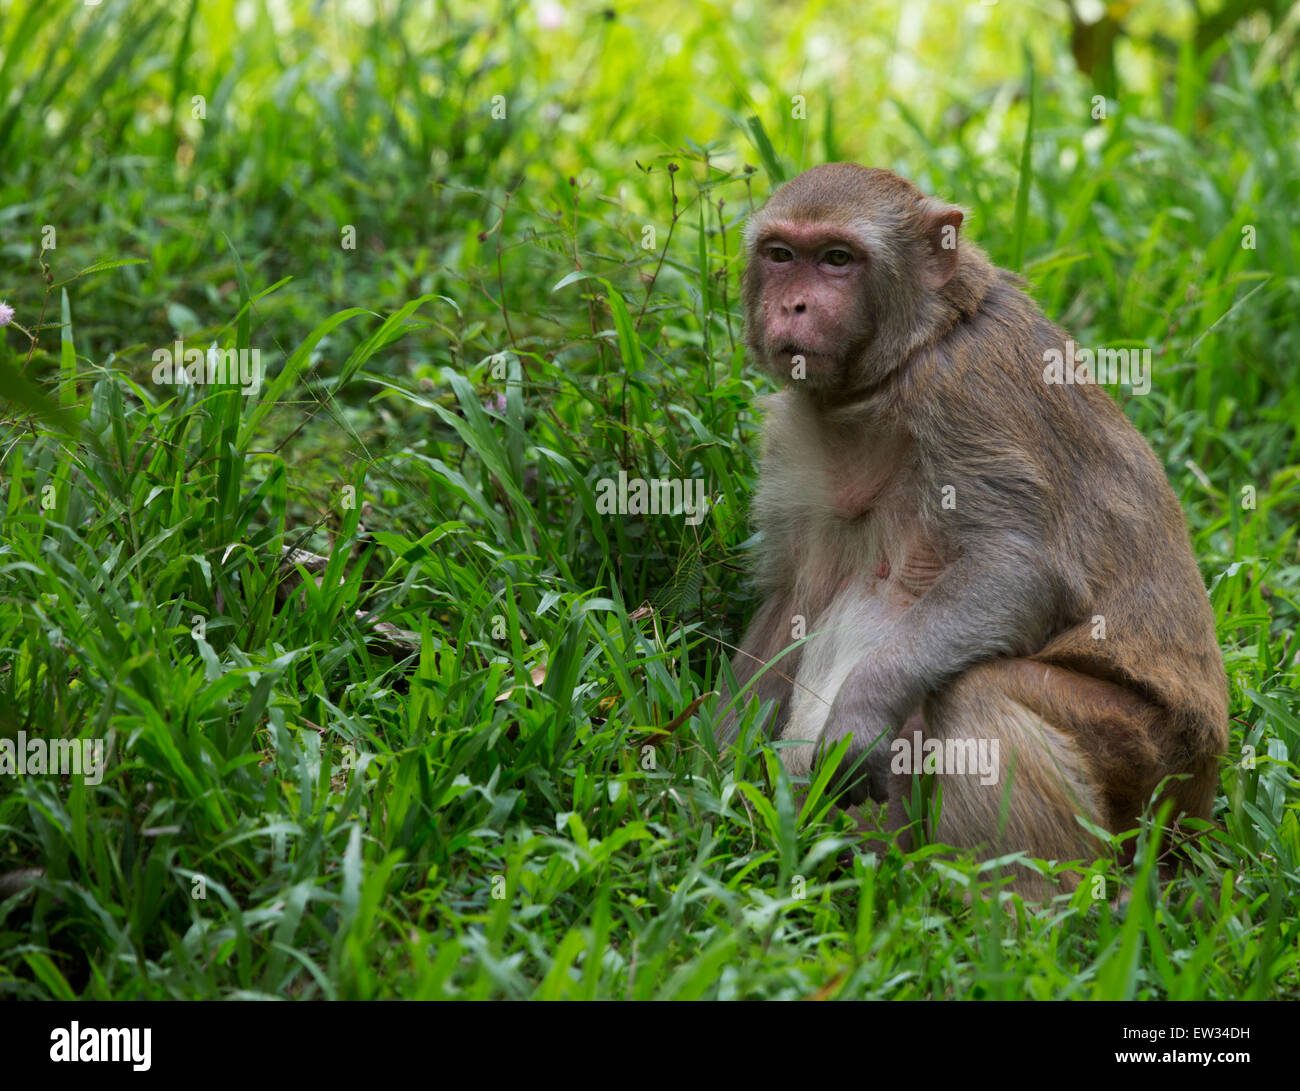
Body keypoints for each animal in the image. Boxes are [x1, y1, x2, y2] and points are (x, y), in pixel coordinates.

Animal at [718, 163, 1228, 897]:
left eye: (838, 259)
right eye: (781, 254)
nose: (794, 308)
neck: (904, 360)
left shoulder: (966, 393)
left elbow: (1016, 570)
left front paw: (862, 710)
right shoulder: (791, 431)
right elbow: (787, 606)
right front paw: (705, 782)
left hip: (1153, 765)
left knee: (978, 690)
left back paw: (1029, 912)